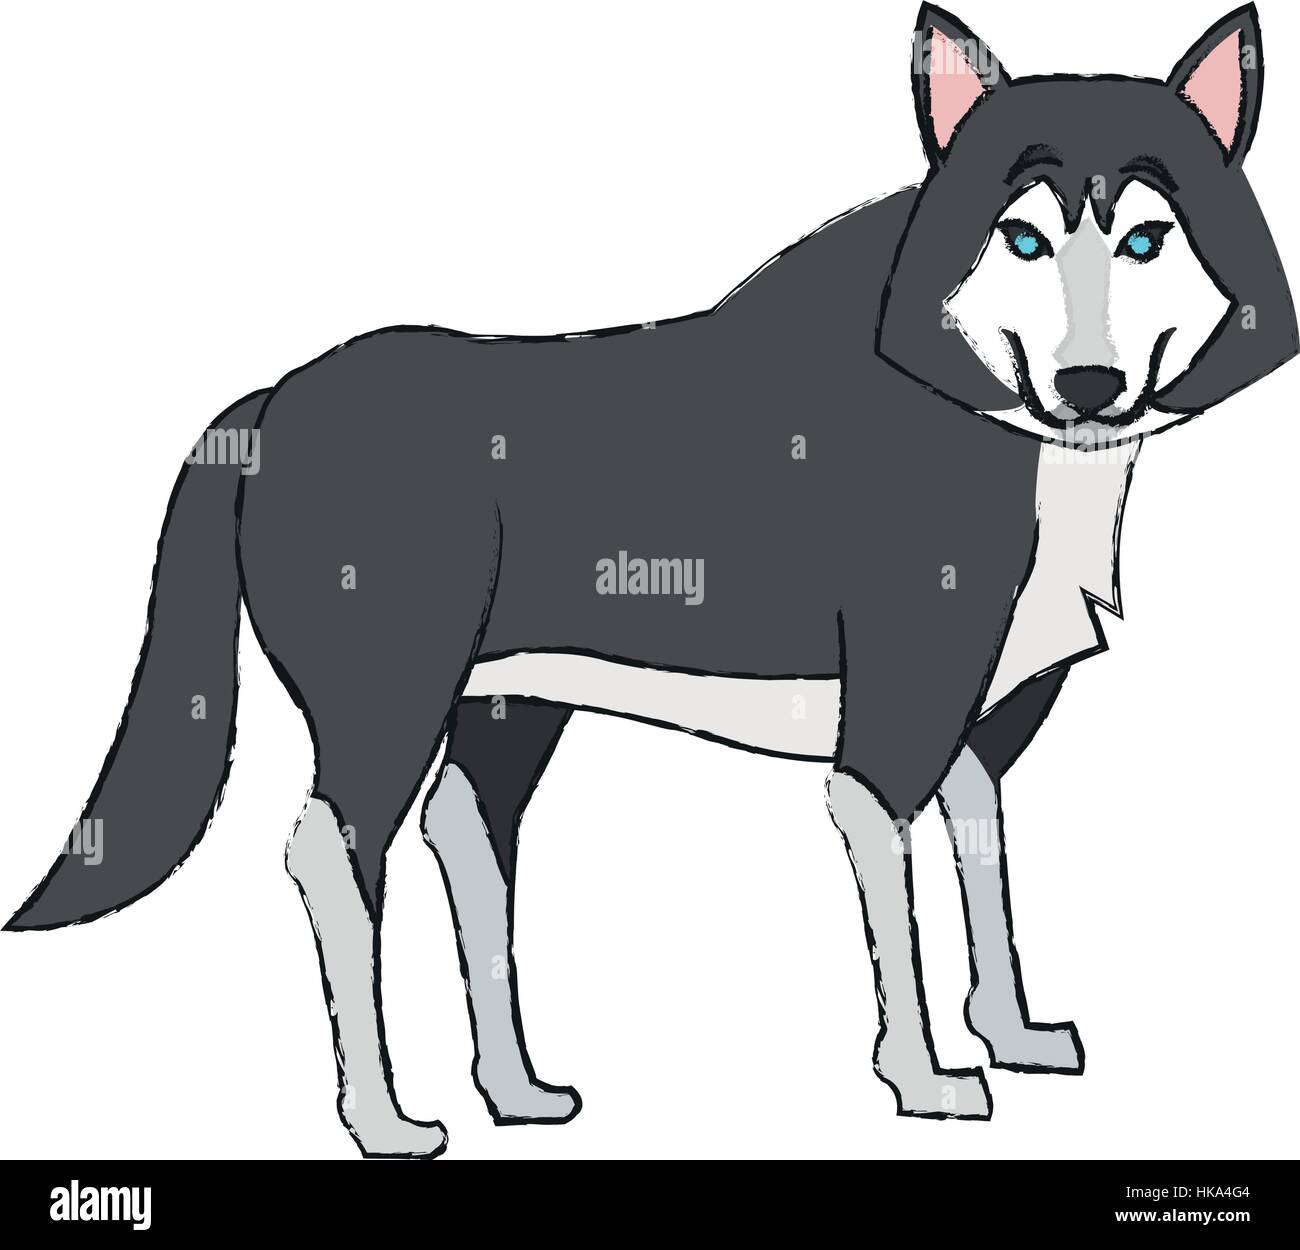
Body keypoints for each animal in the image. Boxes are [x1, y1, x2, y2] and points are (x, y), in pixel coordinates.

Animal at [8, 5, 1295, 1157]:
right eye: (1022, 238)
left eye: (1145, 239)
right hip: (389, 688)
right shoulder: (897, 695)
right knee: (335, 846)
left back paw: (517, 1089)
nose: (1090, 385)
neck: (1007, 432)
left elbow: (981, 840)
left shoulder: (985, 705)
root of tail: (271, 403)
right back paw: (384, 1119)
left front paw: (1011, 1032)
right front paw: (926, 1076)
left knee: (466, 831)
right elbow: (890, 848)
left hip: (506, 699)